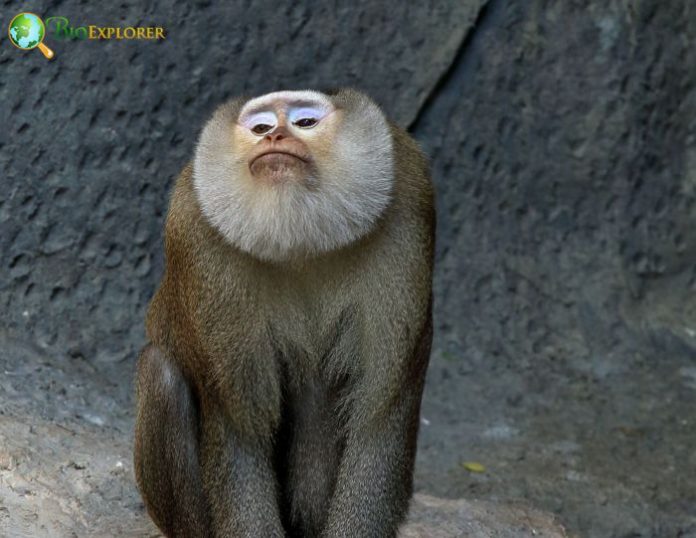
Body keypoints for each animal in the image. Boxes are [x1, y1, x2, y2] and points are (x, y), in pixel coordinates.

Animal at [134, 88, 435, 538]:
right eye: (260, 126)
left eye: (305, 121)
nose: (274, 136)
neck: (299, 243)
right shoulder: (195, 232)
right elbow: (239, 429)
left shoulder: (409, 209)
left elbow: (379, 419)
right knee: (161, 375)